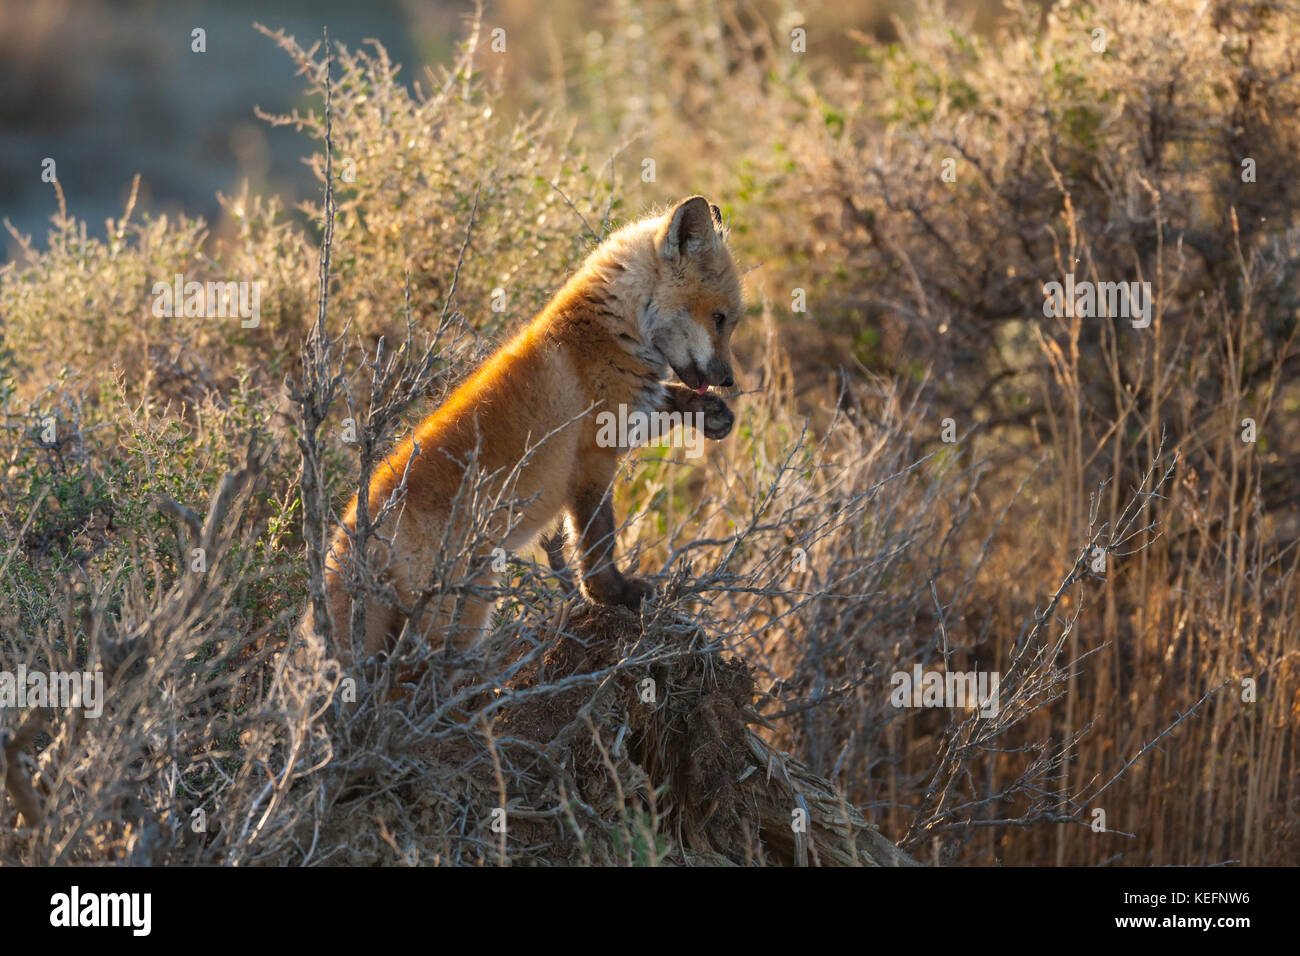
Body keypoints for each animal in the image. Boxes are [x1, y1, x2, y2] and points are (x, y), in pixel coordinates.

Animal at [304, 195, 744, 665]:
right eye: (719, 318)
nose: (728, 380)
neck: (612, 328)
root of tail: (351, 535)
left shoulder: (629, 414)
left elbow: (668, 398)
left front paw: (710, 413)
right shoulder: (592, 460)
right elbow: (597, 546)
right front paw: (613, 595)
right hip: (462, 610)